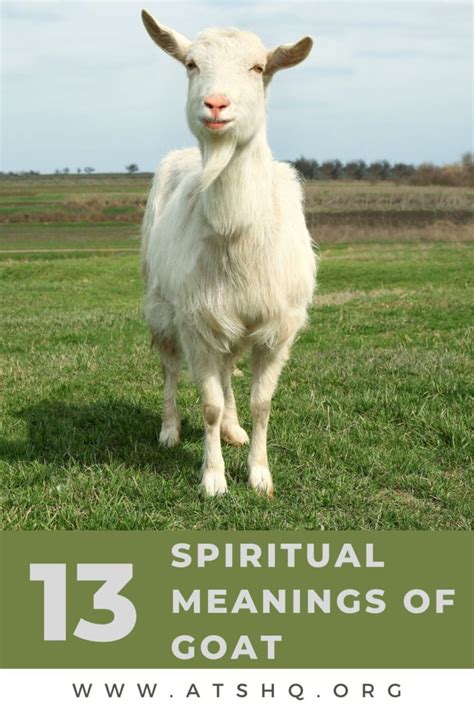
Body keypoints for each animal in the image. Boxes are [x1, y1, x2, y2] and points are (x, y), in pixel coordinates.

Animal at [141, 9, 317, 496]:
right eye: (190, 64)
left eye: (258, 68)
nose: (216, 105)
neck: (238, 231)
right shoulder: (196, 321)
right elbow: (208, 404)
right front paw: (214, 478)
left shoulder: (278, 325)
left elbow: (262, 403)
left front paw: (259, 474)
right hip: (160, 304)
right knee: (169, 366)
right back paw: (169, 430)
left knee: (226, 369)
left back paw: (234, 431)